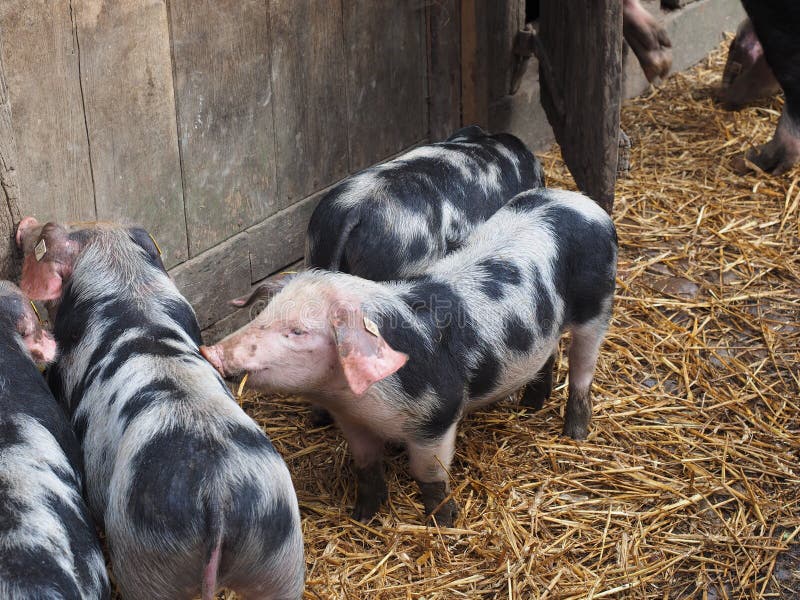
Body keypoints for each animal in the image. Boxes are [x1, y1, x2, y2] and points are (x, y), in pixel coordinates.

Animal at [202, 188, 617, 527]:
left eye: (299, 331)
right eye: (262, 314)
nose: (211, 351)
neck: (351, 397)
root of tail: (582, 202)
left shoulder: (437, 416)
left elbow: (429, 476)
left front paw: (444, 523)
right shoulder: (352, 421)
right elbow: (367, 466)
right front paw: (363, 517)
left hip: (598, 305)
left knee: (583, 368)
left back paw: (575, 434)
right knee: (548, 354)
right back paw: (530, 406)